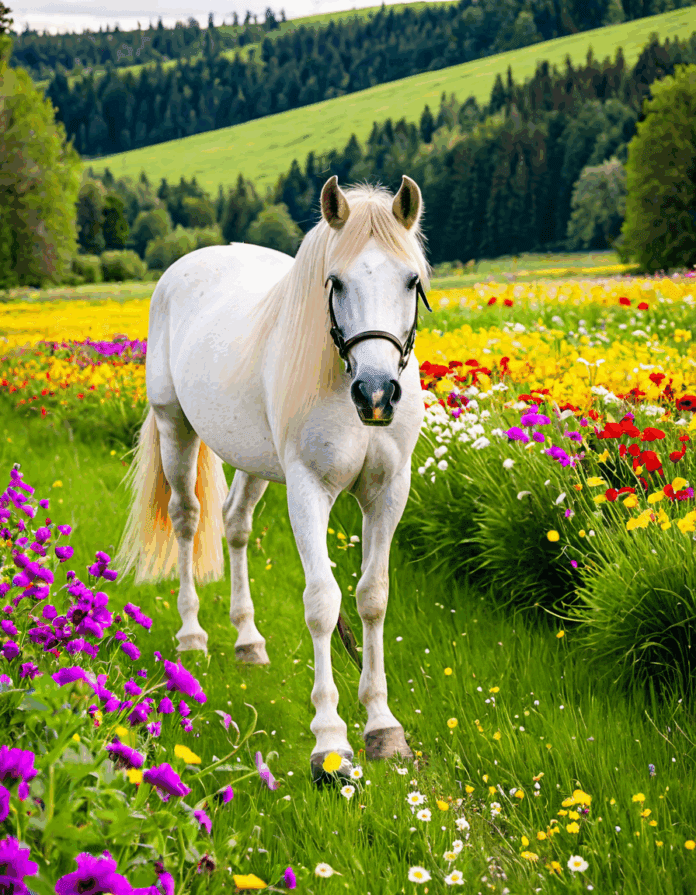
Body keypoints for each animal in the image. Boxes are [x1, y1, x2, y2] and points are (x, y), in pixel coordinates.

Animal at [115, 175, 432, 781]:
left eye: (412, 281)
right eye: (336, 281)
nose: (377, 395)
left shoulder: (388, 492)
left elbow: (372, 597)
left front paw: (383, 726)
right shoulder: (309, 489)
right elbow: (323, 601)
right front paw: (330, 744)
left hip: (254, 460)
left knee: (235, 524)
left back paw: (248, 641)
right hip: (175, 427)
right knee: (188, 519)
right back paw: (192, 636)